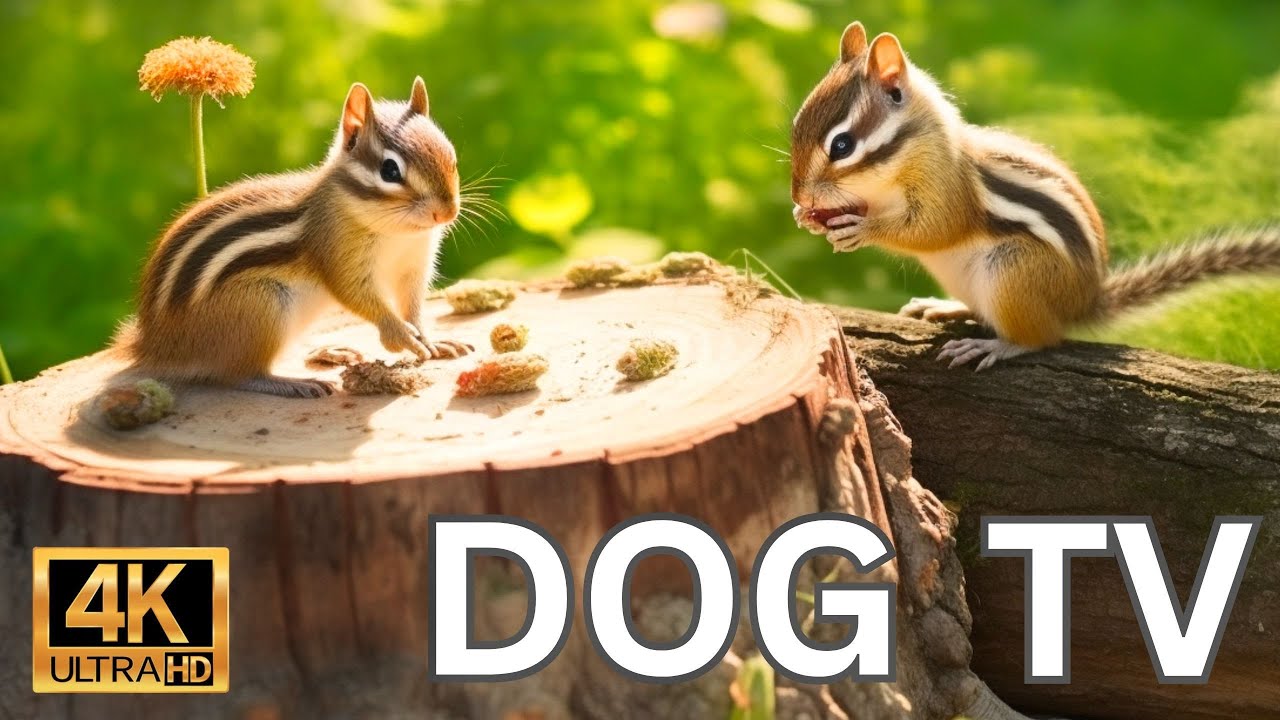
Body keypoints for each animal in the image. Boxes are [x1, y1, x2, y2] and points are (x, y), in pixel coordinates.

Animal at [114, 77, 472, 398]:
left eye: (451, 155)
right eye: (390, 171)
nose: (446, 213)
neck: (400, 233)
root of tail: (155, 344)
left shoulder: (414, 265)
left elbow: (413, 304)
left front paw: (431, 340)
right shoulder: (336, 253)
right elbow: (356, 295)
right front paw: (400, 335)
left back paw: (329, 351)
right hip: (261, 308)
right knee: (236, 375)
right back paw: (292, 383)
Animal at [791, 22, 1280, 370]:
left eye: (842, 145)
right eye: (796, 123)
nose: (800, 194)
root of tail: (1084, 302)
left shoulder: (947, 188)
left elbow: (934, 229)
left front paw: (862, 227)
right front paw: (806, 216)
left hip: (1013, 273)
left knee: (1043, 338)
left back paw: (993, 347)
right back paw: (945, 307)